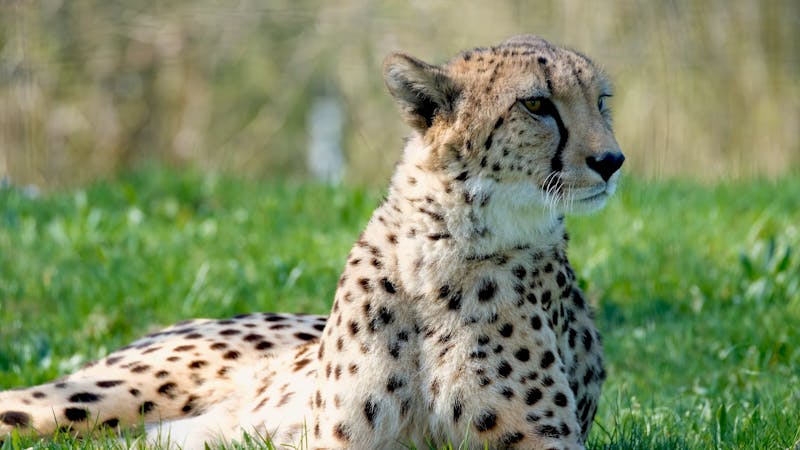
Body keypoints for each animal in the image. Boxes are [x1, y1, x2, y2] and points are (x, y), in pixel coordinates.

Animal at [0, 35, 623, 449]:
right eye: (537, 104)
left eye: (601, 102)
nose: (612, 160)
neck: (443, 249)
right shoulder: (339, 440)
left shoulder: (543, 441)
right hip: (97, 399)